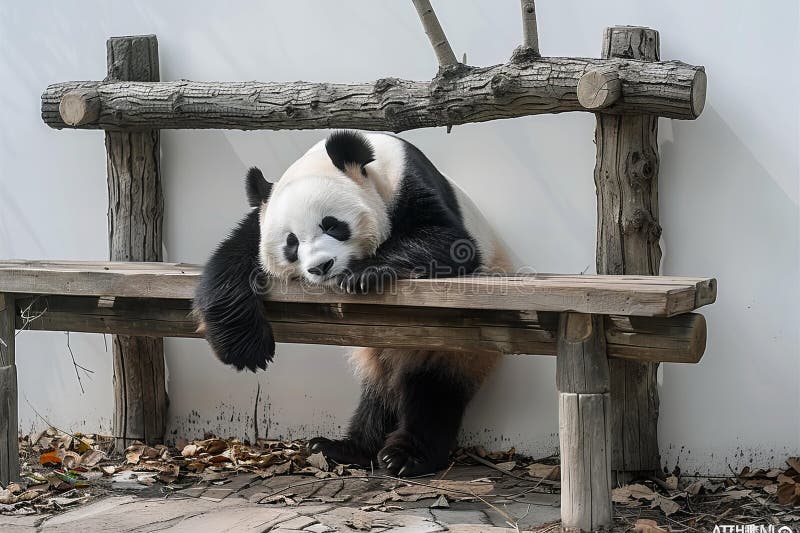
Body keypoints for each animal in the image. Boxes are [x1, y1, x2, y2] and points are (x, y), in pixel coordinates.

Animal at [194, 130, 512, 477]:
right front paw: (244, 349)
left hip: (449, 344)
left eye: (331, 224)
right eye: (291, 243)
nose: (321, 266)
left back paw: (405, 456)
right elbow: (233, 255)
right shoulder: (261, 218)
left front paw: (363, 274)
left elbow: (451, 241)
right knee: (377, 396)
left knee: (433, 392)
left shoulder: (409, 182)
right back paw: (344, 448)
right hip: (378, 352)